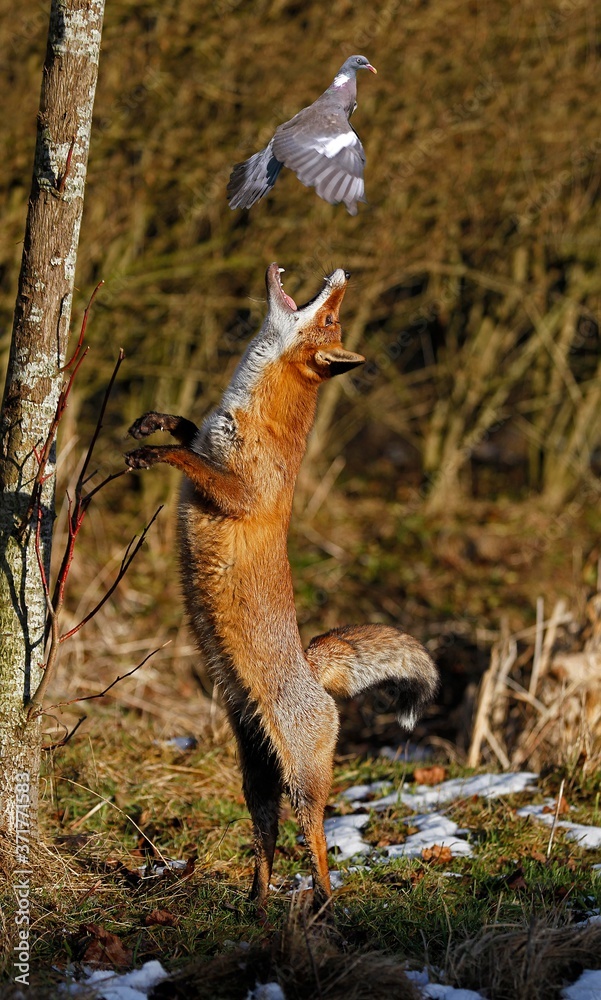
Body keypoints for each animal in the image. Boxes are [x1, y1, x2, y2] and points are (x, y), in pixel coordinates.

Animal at [125, 264, 439, 911]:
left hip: (301, 782)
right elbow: (189, 434)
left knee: (317, 836)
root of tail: (314, 671)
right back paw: (257, 903)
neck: (248, 408)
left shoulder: (242, 493)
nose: (345, 273)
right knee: (266, 841)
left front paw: (152, 449)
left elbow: (185, 459)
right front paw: (156, 421)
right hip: (255, 780)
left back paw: (322, 901)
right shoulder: (212, 452)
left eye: (330, 317)